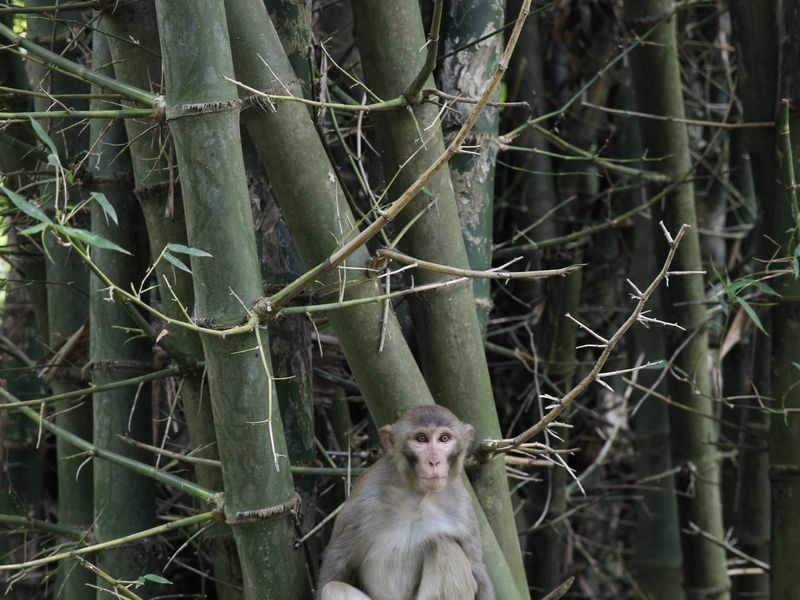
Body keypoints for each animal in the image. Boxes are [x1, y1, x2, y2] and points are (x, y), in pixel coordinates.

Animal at [317, 405, 495, 600]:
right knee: (333, 588)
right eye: (421, 439)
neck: (417, 495)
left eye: (444, 438)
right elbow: (334, 569)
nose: (434, 461)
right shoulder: (362, 501)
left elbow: (477, 568)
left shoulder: (462, 506)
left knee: (444, 546)